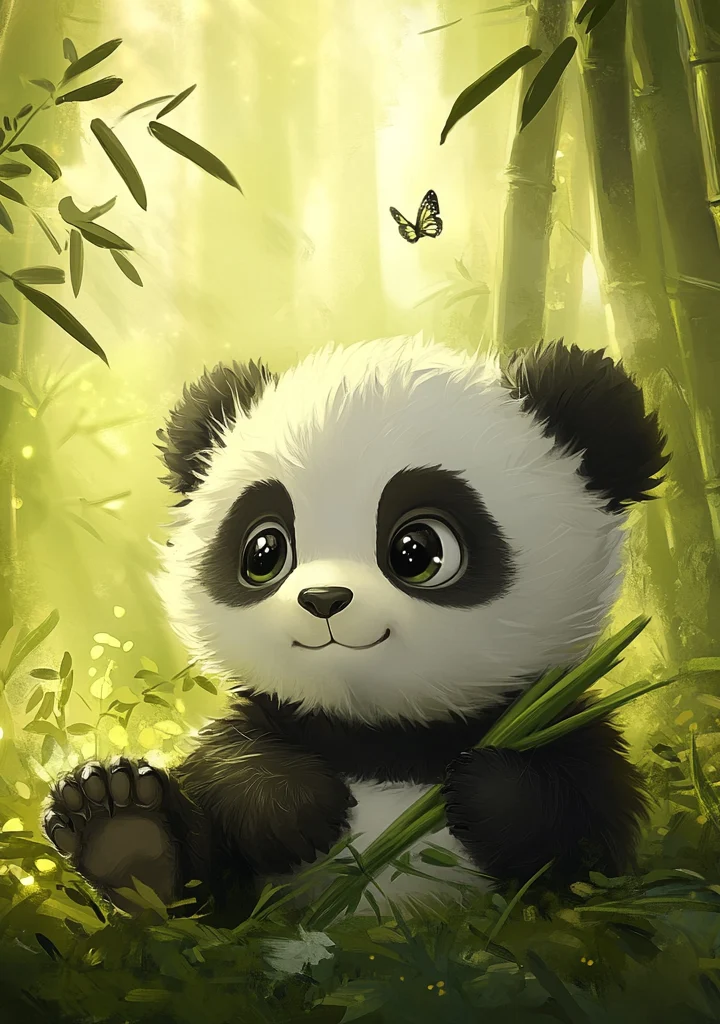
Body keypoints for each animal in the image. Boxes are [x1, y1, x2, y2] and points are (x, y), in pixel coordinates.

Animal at [42, 335, 668, 917]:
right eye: (265, 551)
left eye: (418, 551)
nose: (323, 599)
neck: (379, 734)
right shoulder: (275, 723)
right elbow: (227, 763)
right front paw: (294, 809)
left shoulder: (567, 729)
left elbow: (584, 838)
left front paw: (481, 787)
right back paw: (120, 831)